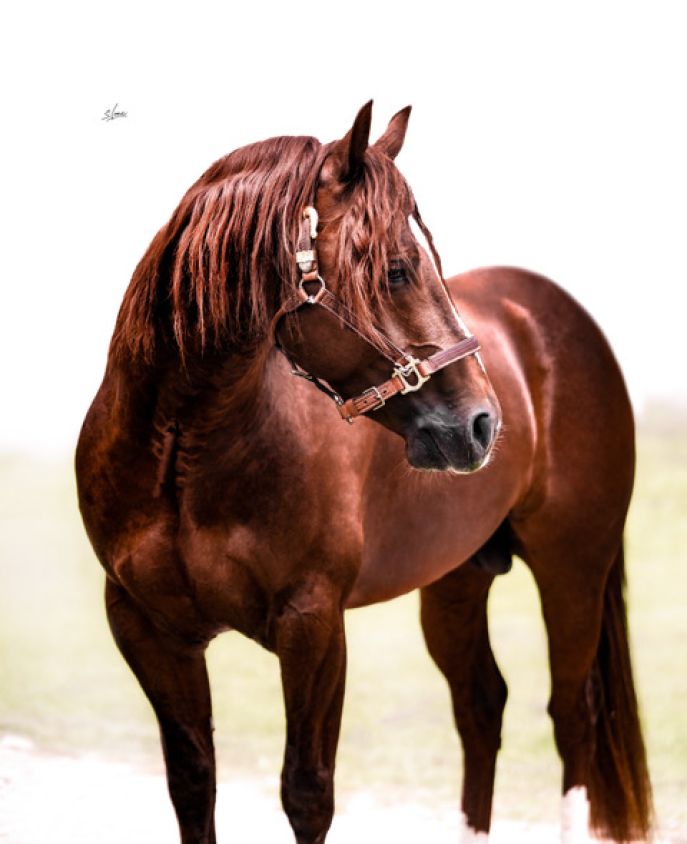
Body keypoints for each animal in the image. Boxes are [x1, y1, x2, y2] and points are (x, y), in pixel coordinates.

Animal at [75, 101, 652, 843]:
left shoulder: (313, 624)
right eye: (398, 269)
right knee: (481, 706)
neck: (186, 457)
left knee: (571, 717)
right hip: (459, 579)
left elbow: (306, 792)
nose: (482, 423)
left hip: (572, 568)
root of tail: (557, 318)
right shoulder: (146, 628)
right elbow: (193, 784)